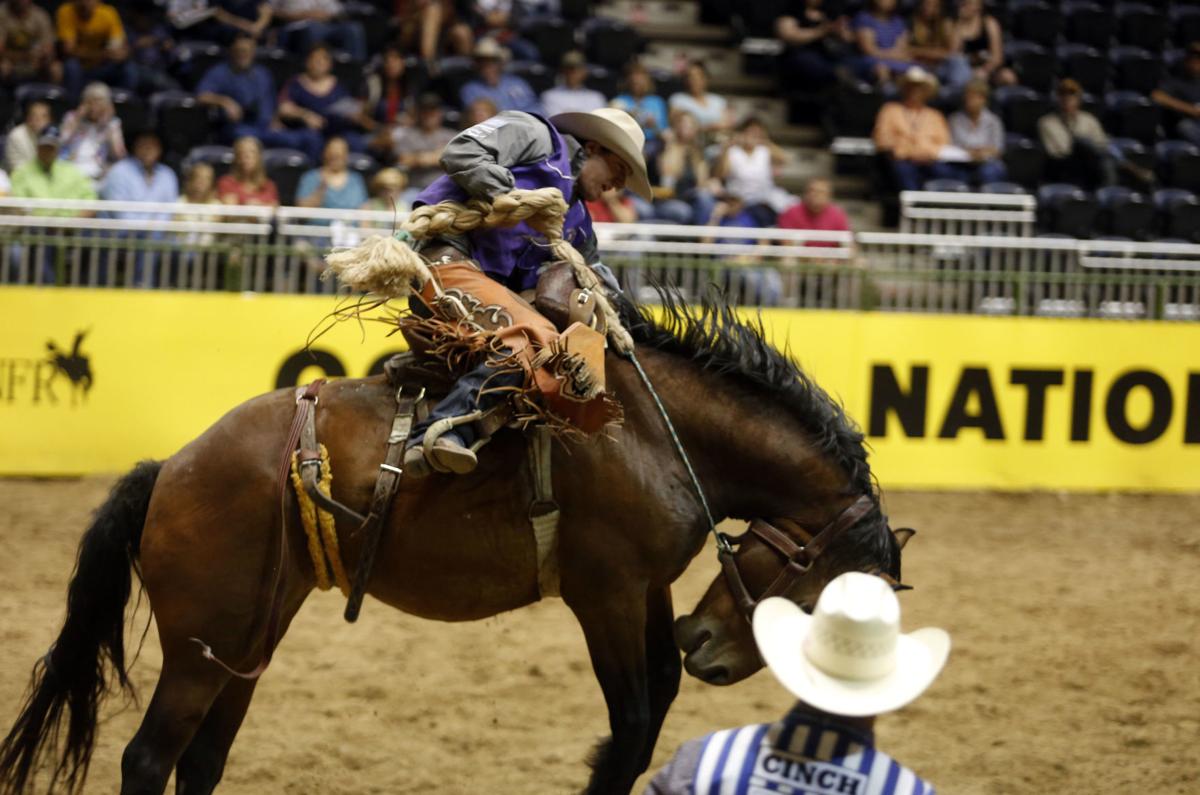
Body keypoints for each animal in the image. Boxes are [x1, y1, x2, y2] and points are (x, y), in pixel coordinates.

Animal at [0, 293, 910, 795]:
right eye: (822, 597)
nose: (708, 643)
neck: (653, 430)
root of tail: (171, 468)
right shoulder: (608, 595)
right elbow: (634, 721)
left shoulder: (648, 591)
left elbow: (651, 707)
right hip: (199, 644)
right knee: (148, 759)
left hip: (246, 642)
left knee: (201, 761)